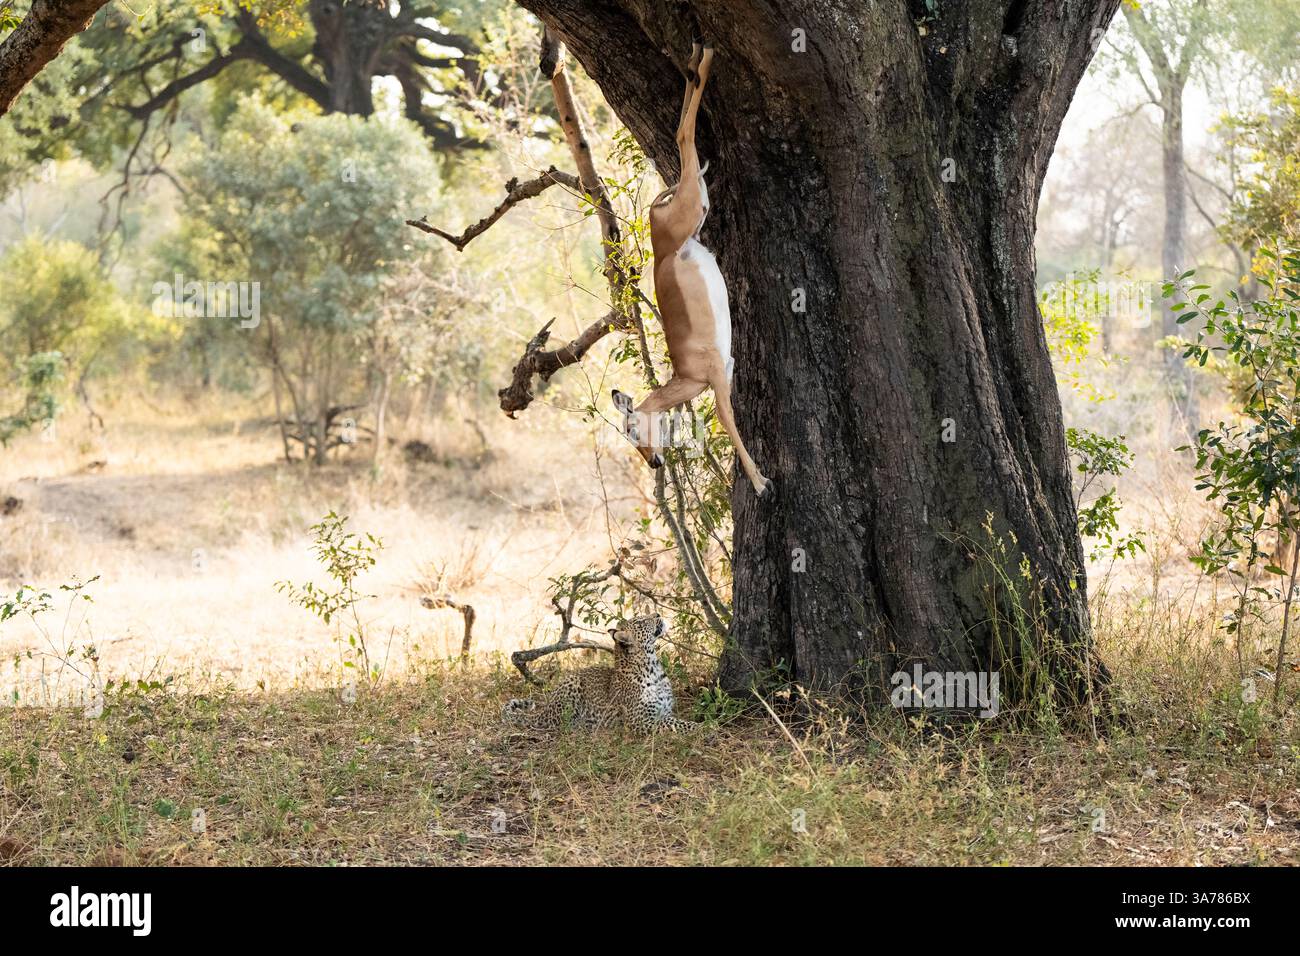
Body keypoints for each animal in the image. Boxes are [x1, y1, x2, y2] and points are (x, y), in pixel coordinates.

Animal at [502, 615, 697, 733]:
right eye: (641, 622)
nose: (657, 614)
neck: (653, 668)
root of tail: (546, 708)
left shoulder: (665, 712)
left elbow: (676, 721)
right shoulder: (639, 721)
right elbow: (676, 724)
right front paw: (701, 728)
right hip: (572, 682)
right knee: (560, 722)